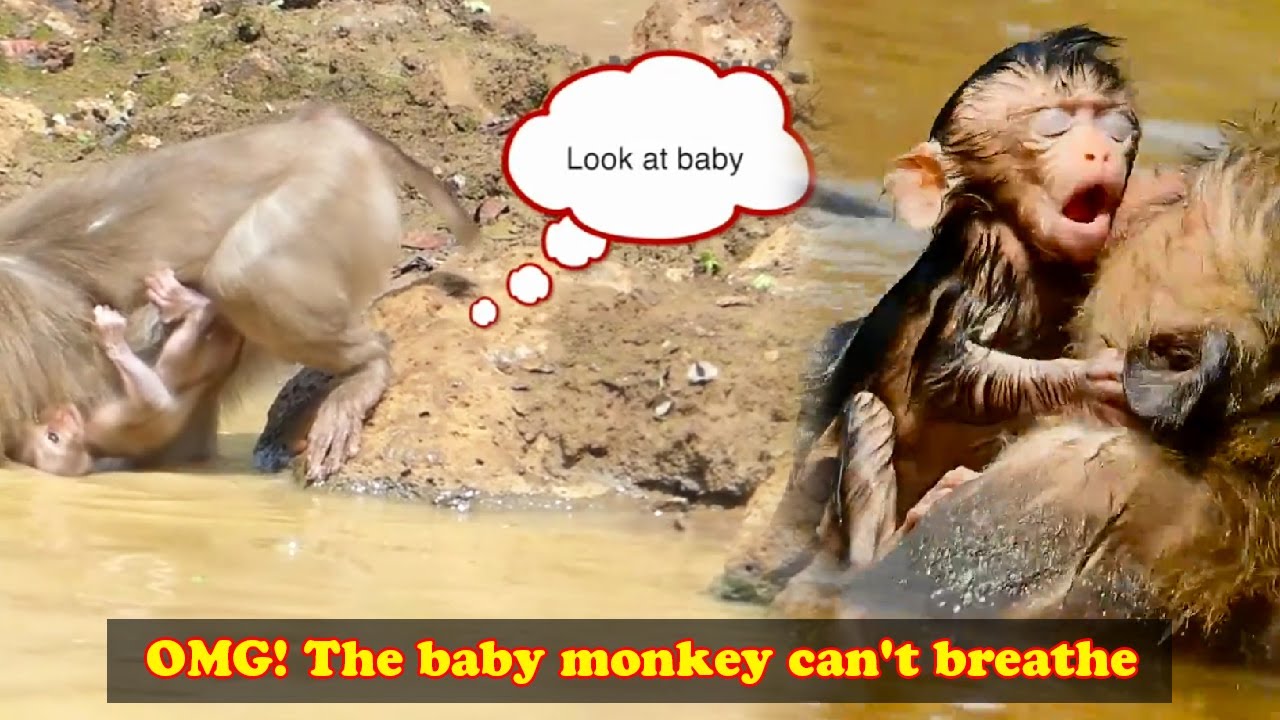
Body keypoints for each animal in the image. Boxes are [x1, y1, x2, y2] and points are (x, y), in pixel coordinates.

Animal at [13, 269, 244, 476]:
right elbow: (156, 402)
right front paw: (113, 336)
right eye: (52, 437)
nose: (62, 413)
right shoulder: (100, 424)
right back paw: (193, 306)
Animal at [715, 26, 1146, 602]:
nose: (1099, 151)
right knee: (866, 414)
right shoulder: (990, 256)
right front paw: (1091, 377)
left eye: (1115, 127)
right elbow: (948, 373)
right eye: (1053, 126)